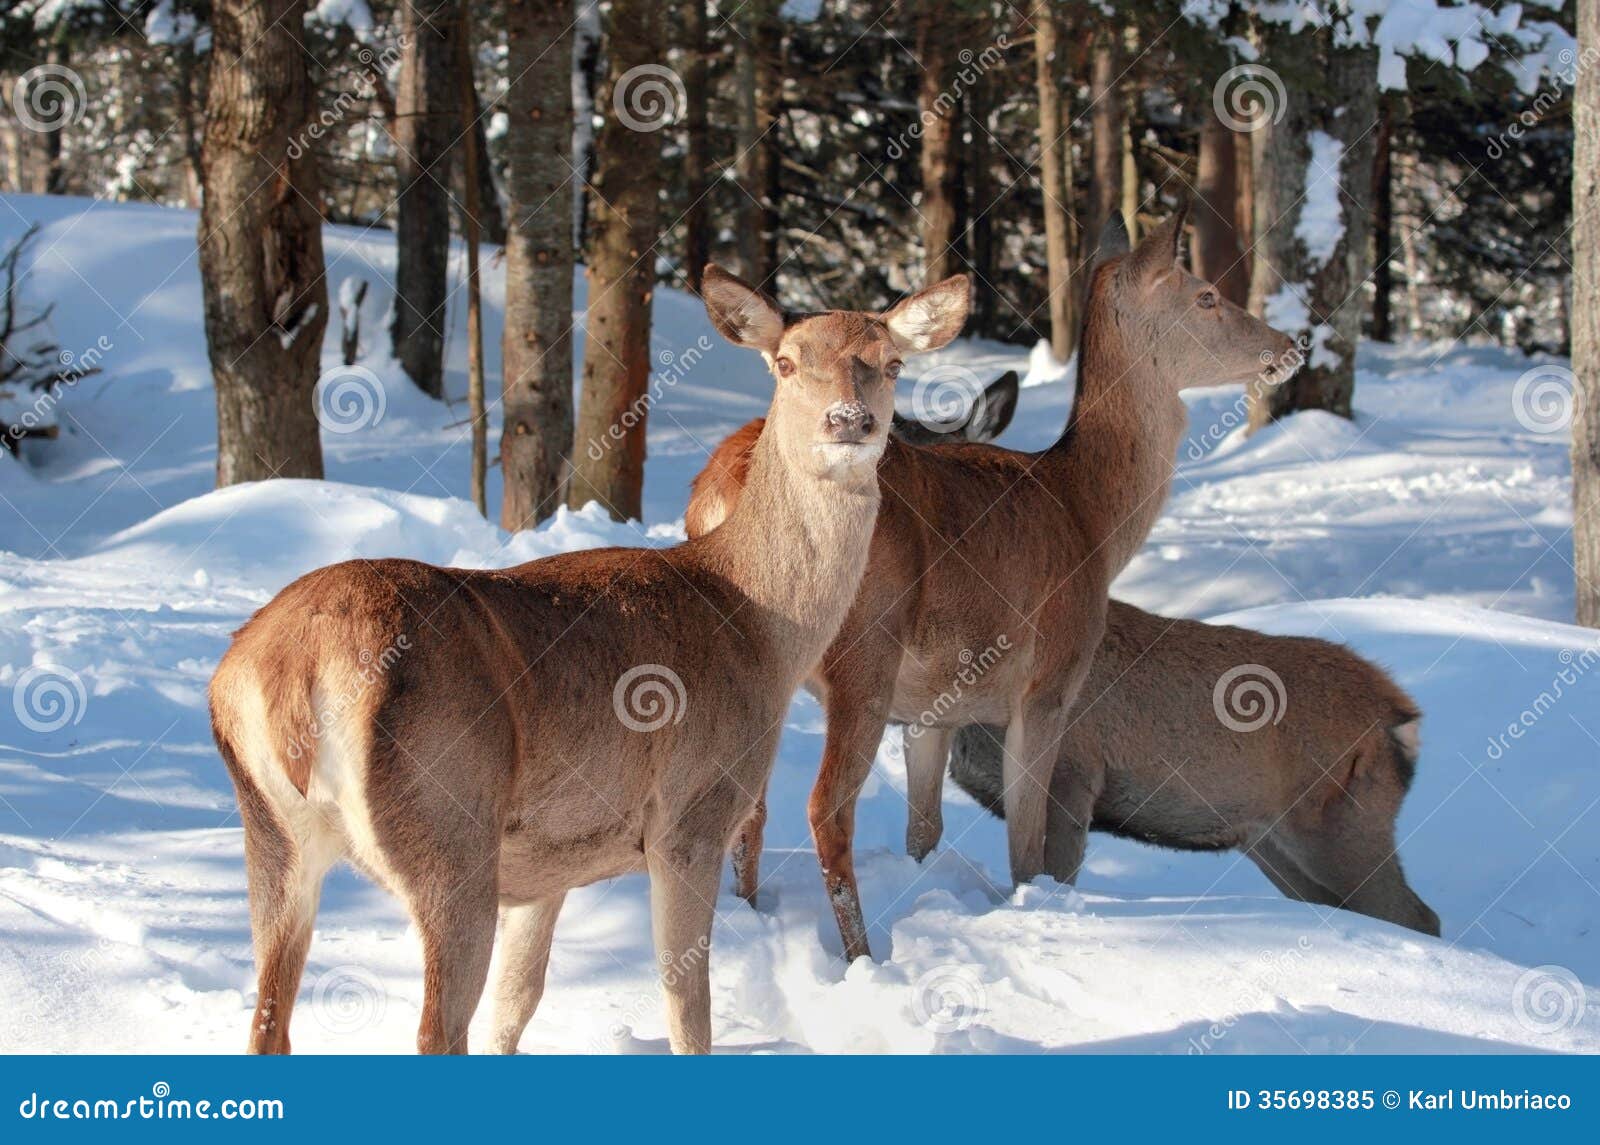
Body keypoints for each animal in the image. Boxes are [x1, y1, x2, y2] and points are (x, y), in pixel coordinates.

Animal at [207, 264, 972, 1055]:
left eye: (892, 363)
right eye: (787, 363)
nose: (849, 420)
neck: (758, 624)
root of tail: (285, 672)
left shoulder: (549, 865)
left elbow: (516, 1007)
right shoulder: (691, 815)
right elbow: (686, 1012)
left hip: (273, 833)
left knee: (269, 1023)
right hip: (450, 830)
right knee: (433, 1030)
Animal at [681, 208, 1298, 960]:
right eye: (1206, 294)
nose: (1289, 344)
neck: (1087, 515)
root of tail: (723, 490)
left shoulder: (933, 709)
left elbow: (924, 832)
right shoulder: (1050, 680)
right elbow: (1028, 850)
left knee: (755, 803)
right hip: (865, 650)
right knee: (823, 804)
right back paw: (861, 955)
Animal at [943, 607, 1440, 935]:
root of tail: (1403, 719)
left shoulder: (1073, 775)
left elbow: (1053, 876)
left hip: (1341, 822)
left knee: (1417, 915)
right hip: (1272, 843)